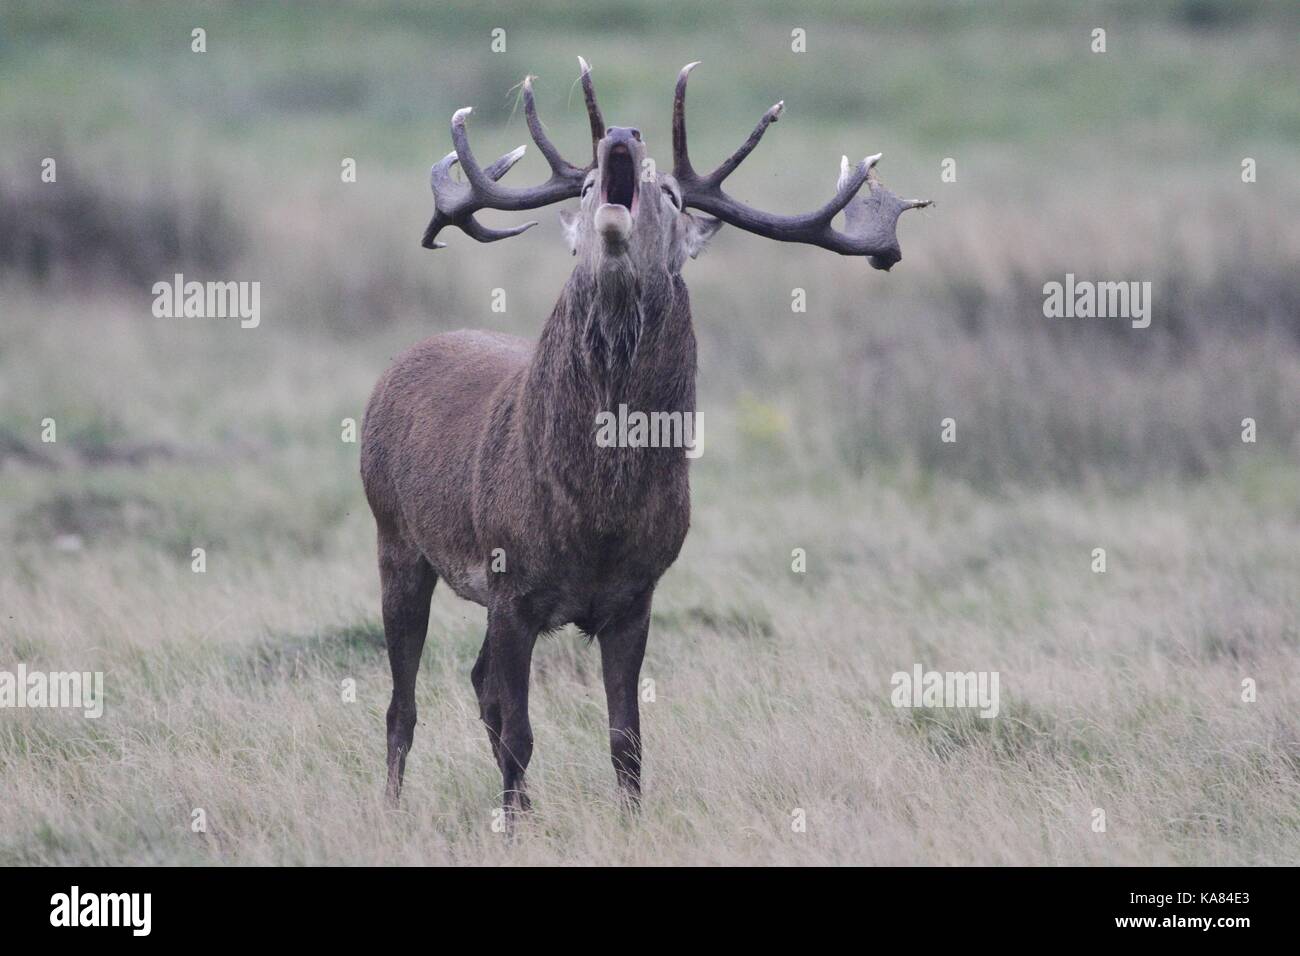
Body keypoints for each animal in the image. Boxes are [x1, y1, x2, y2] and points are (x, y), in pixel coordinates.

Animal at [360, 58, 929, 816]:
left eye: (673, 195)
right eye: (584, 185)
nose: (622, 135)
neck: (597, 516)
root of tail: (393, 370)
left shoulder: (638, 595)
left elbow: (626, 739)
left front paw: (625, 821)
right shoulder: (511, 584)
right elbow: (521, 734)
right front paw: (513, 826)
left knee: (476, 684)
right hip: (395, 536)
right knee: (404, 703)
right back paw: (395, 807)